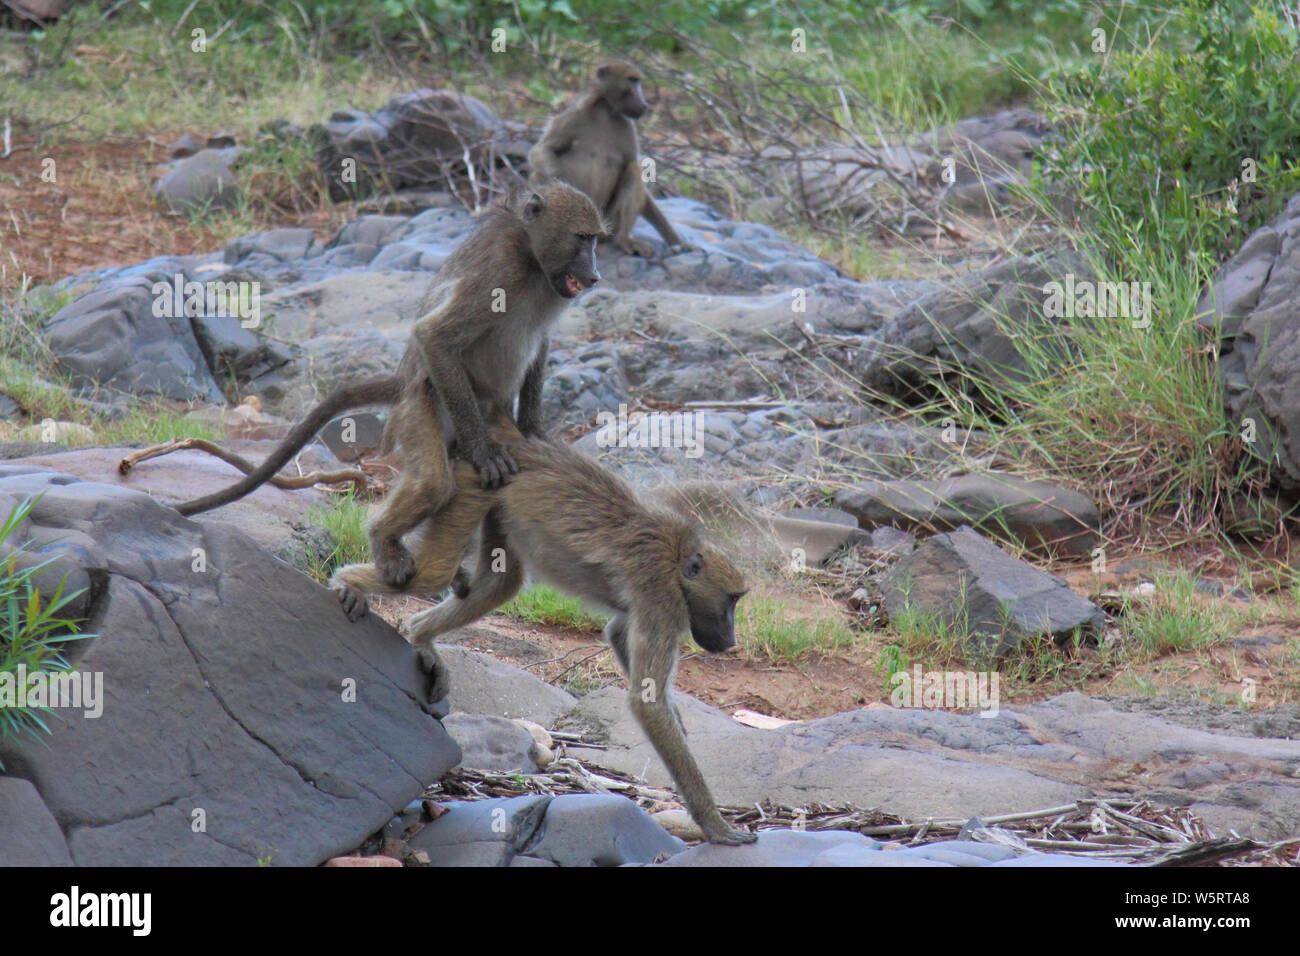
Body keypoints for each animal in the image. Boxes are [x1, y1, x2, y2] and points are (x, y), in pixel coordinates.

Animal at [175, 183, 607, 591]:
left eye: (595, 239)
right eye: (582, 237)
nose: (595, 276)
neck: (531, 258)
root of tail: (402, 384)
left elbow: (541, 345)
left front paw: (534, 431)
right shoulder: (501, 271)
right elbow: (435, 336)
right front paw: (484, 454)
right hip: (421, 404)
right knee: (432, 481)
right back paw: (384, 538)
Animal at [330, 421, 757, 846]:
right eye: (732, 600)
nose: (731, 639)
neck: (678, 557)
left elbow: (619, 633)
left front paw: (680, 724)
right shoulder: (663, 598)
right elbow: (647, 701)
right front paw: (715, 825)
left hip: (490, 503)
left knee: (498, 584)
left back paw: (420, 636)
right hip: (469, 489)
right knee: (431, 574)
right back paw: (348, 583)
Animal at [528, 60, 690, 258]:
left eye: (637, 81)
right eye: (632, 80)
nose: (645, 105)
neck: (605, 111)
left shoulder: (628, 126)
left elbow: (636, 167)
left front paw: (677, 242)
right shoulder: (572, 117)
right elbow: (542, 149)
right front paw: (558, 180)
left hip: (609, 223)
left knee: (634, 169)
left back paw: (624, 240)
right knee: (538, 174)